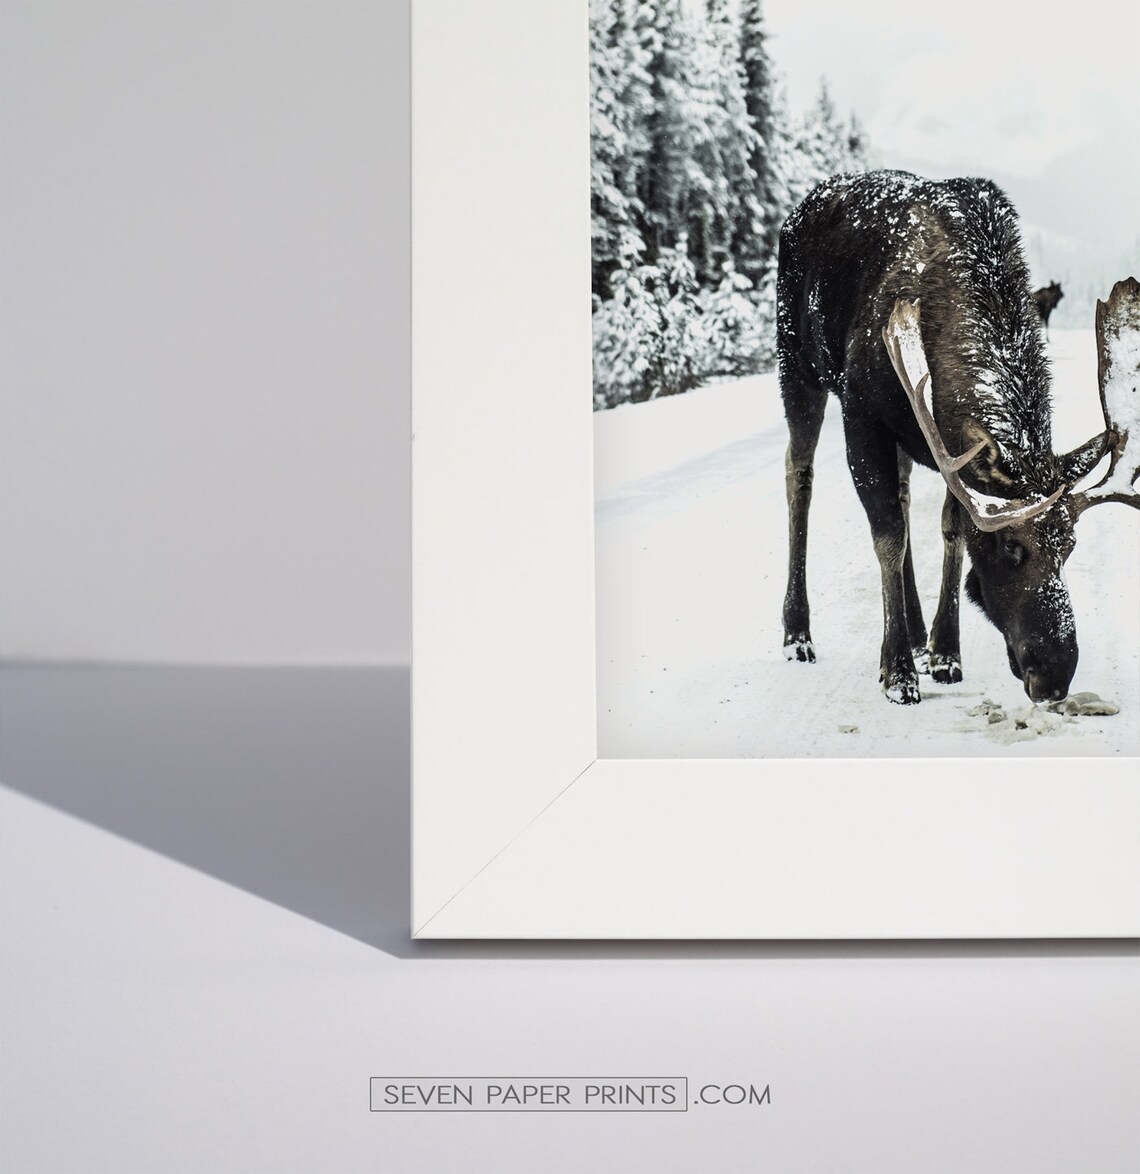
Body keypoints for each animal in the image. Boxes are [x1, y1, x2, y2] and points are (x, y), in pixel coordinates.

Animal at [776, 169, 1139, 705]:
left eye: (1070, 546)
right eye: (1010, 547)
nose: (1054, 675)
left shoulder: (949, 447)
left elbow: (949, 530)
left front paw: (945, 651)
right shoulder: (862, 414)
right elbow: (887, 535)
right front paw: (897, 671)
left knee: (904, 495)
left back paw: (916, 629)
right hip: (797, 366)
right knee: (799, 473)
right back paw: (797, 633)